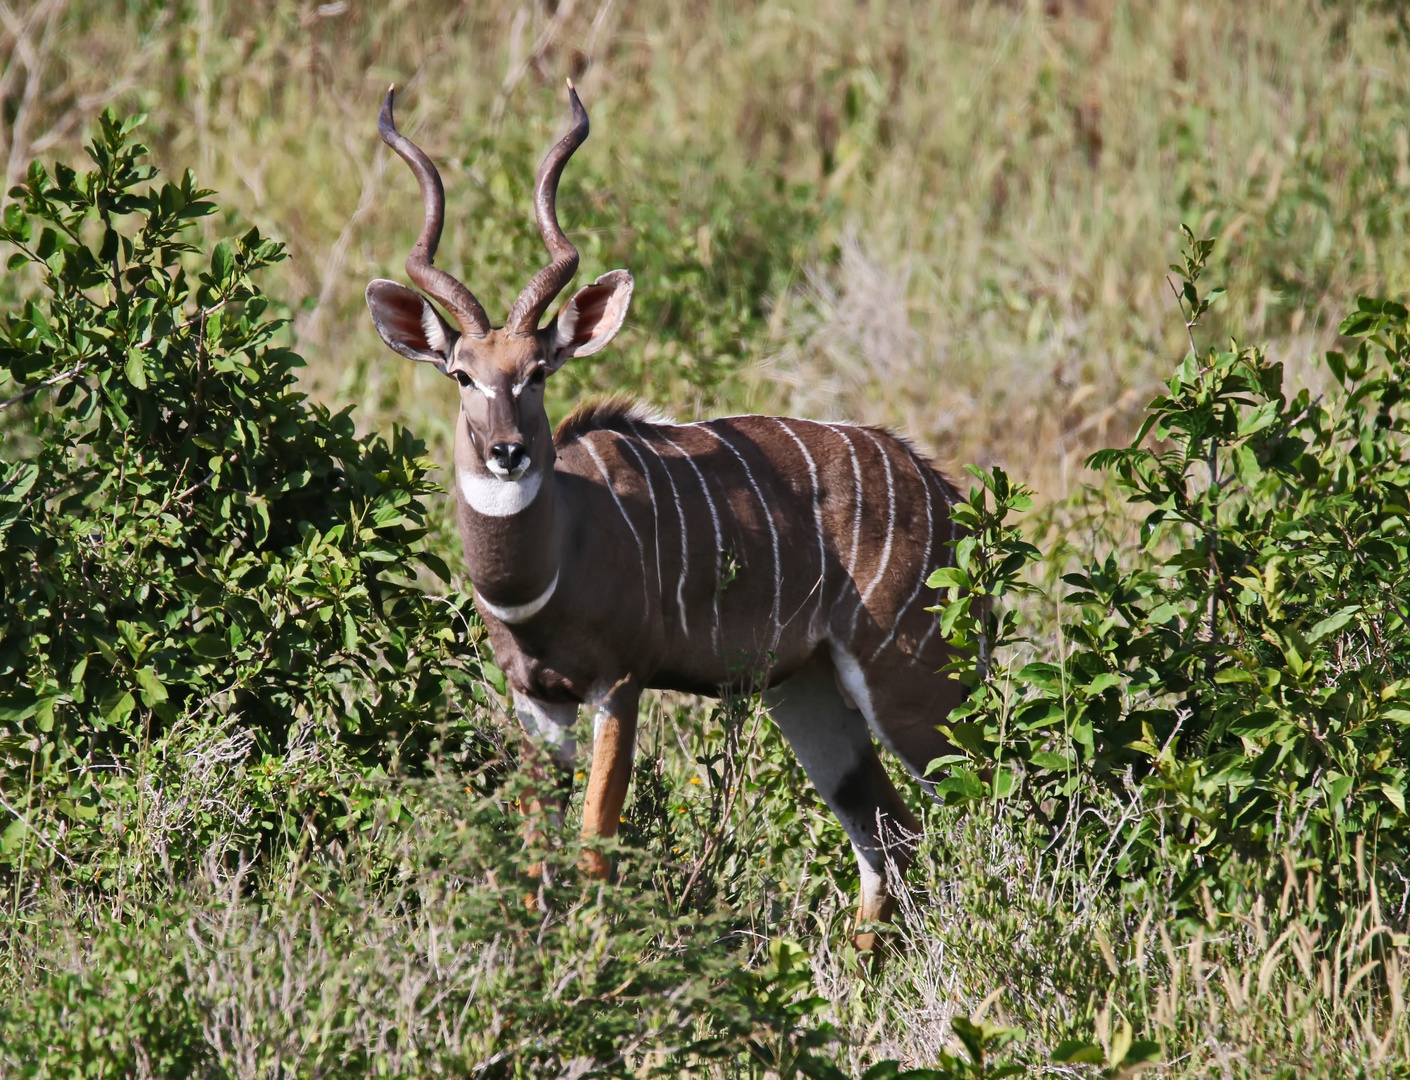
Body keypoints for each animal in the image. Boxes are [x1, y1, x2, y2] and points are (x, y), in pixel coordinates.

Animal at [363, 80, 970, 953]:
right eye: (460, 375)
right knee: (888, 835)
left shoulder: (619, 681)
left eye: (538, 371)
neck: (556, 554)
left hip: (913, 679)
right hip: (808, 692)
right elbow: (537, 858)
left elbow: (594, 849)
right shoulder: (537, 698)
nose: (508, 452)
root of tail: (944, 492)